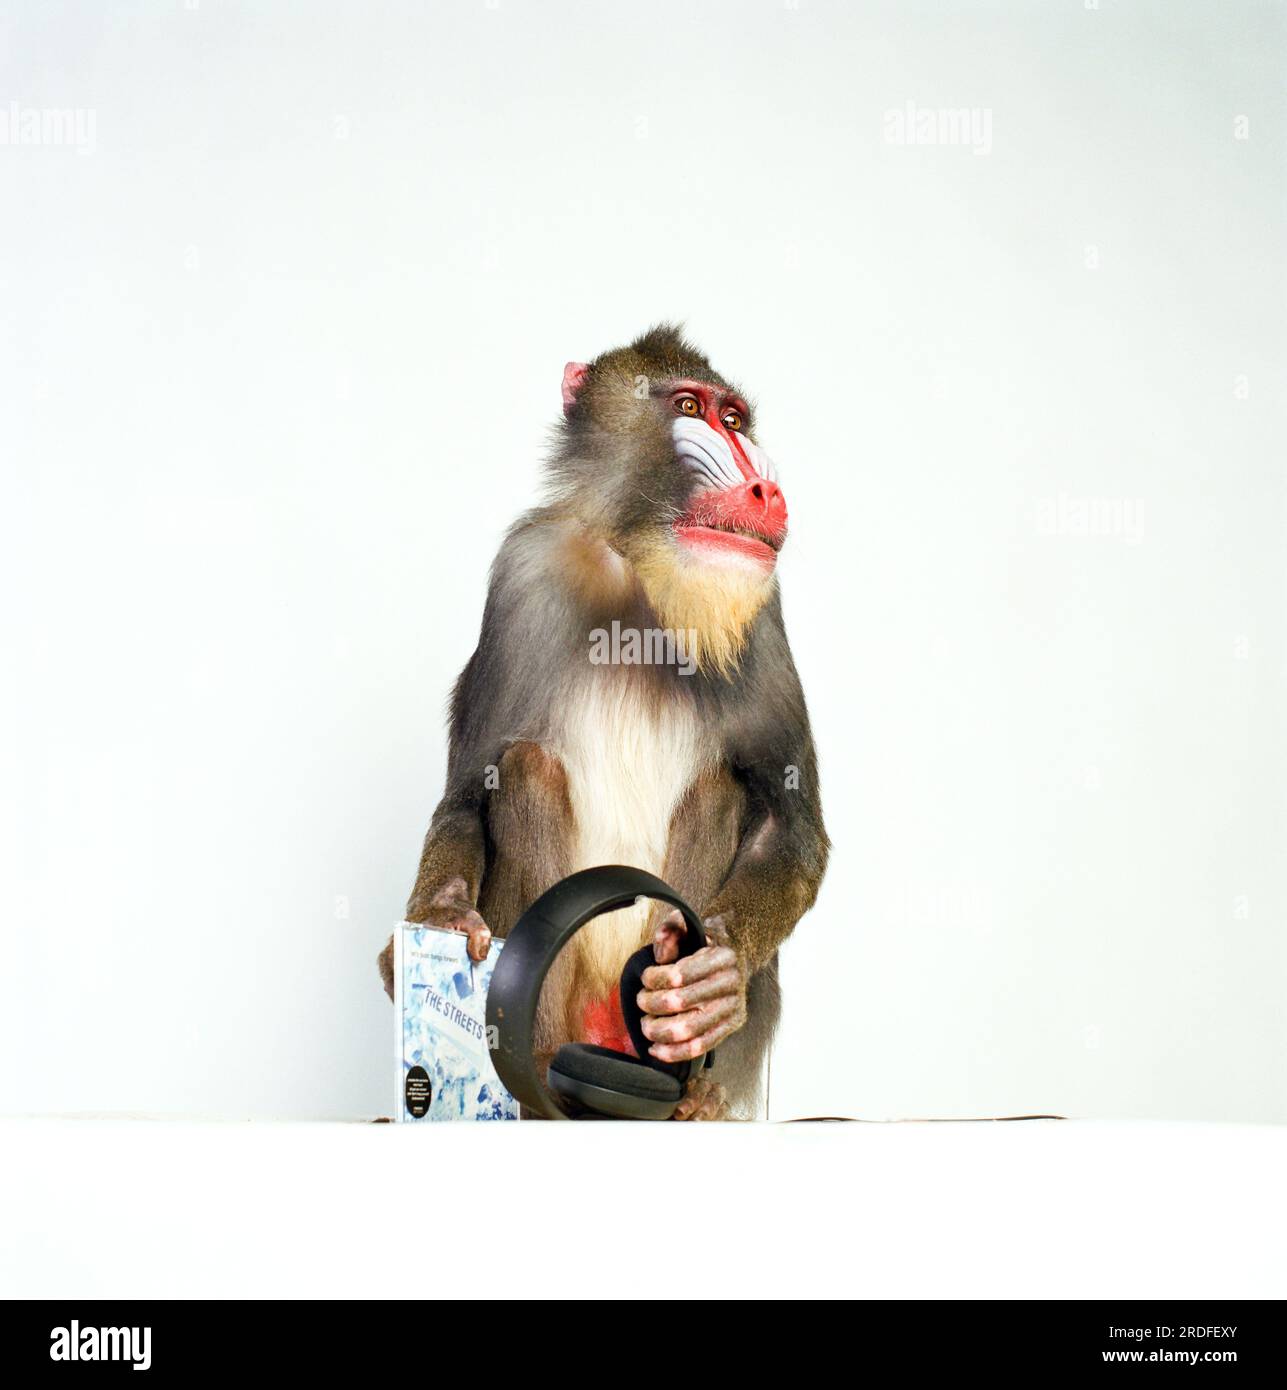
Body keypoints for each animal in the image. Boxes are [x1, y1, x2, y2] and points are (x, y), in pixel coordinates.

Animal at [379, 324, 828, 1120]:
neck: (641, 570)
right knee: (527, 768)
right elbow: (467, 791)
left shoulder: (763, 614)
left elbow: (791, 825)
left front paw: (713, 982)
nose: (766, 489)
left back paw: (694, 1092)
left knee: (721, 790)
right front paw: (440, 924)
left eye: (735, 419)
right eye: (689, 407)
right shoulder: (521, 575)